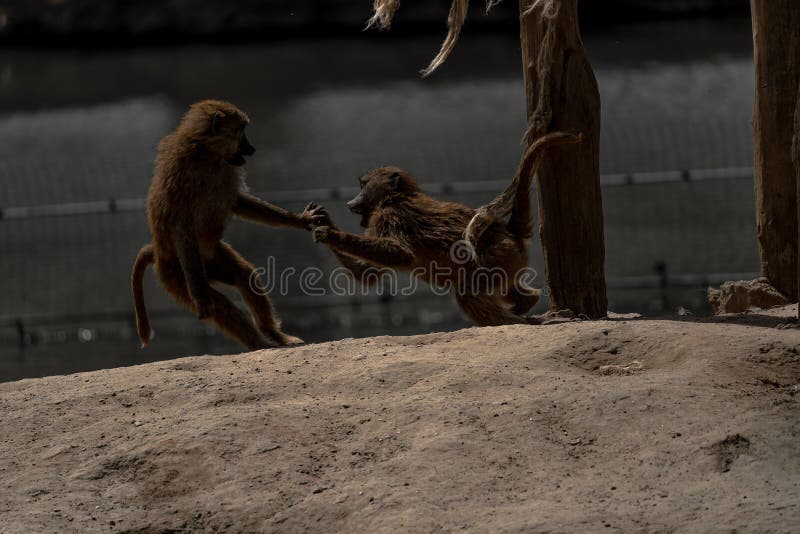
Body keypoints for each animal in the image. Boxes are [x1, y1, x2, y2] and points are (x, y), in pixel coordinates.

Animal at [131, 100, 313, 351]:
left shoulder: (227, 168)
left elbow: (237, 202)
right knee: (218, 302)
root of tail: (158, 252)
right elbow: (180, 226)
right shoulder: (182, 177)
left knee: (243, 275)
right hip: (178, 272)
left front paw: (299, 219)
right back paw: (258, 343)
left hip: (210, 259)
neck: (208, 156)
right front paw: (201, 299)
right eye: (241, 131)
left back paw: (274, 336)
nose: (252, 148)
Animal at [303, 131, 582, 327]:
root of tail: (509, 232)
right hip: (508, 259)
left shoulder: (390, 216)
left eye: (363, 186)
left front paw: (330, 233)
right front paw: (322, 221)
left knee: (467, 293)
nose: (351, 203)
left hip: (496, 256)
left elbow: (398, 254)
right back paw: (527, 305)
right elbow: (369, 272)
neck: (396, 196)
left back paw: (516, 322)